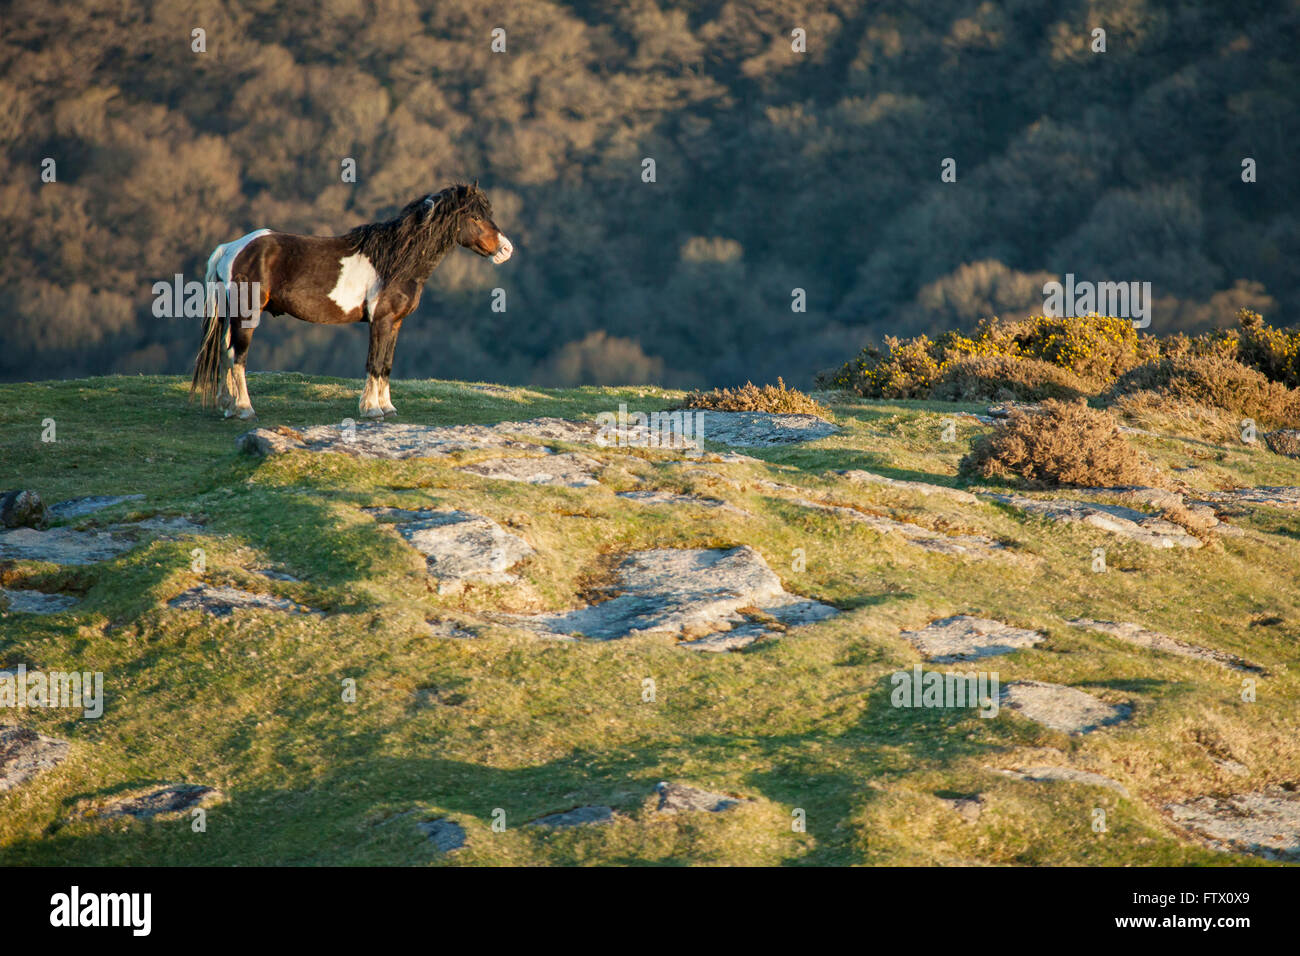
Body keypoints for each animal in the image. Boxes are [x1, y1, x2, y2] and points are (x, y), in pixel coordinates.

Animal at [190, 182, 513, 420]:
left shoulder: (395, 324)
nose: (506, 249)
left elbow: (386, 364)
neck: (395, 261)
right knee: (238, 357)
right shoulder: (380, 321)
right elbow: (374, 362)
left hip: (232, 315)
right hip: (247, 316)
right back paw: (244, 409)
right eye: (475, 217)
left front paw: (387, 407)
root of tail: (232, 248)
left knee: (224, 352)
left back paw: (227, 406)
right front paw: (371, 409)